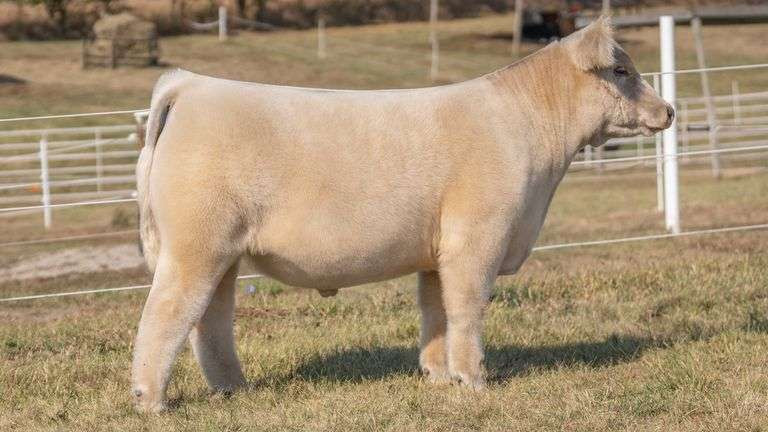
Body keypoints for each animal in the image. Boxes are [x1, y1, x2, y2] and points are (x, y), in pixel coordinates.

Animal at [131, 16, 673, 412]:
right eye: (621, 72)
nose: (668, 111)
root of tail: (192, 85)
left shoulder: (438, 251)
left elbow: (436, 311)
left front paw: (439, 376)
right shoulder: (479, 238)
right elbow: (467, 308)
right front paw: (473, 379)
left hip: (222, 253)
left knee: (210, 321)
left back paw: (233, 390)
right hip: (195, 247)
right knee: (165, 315)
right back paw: (151, 402)